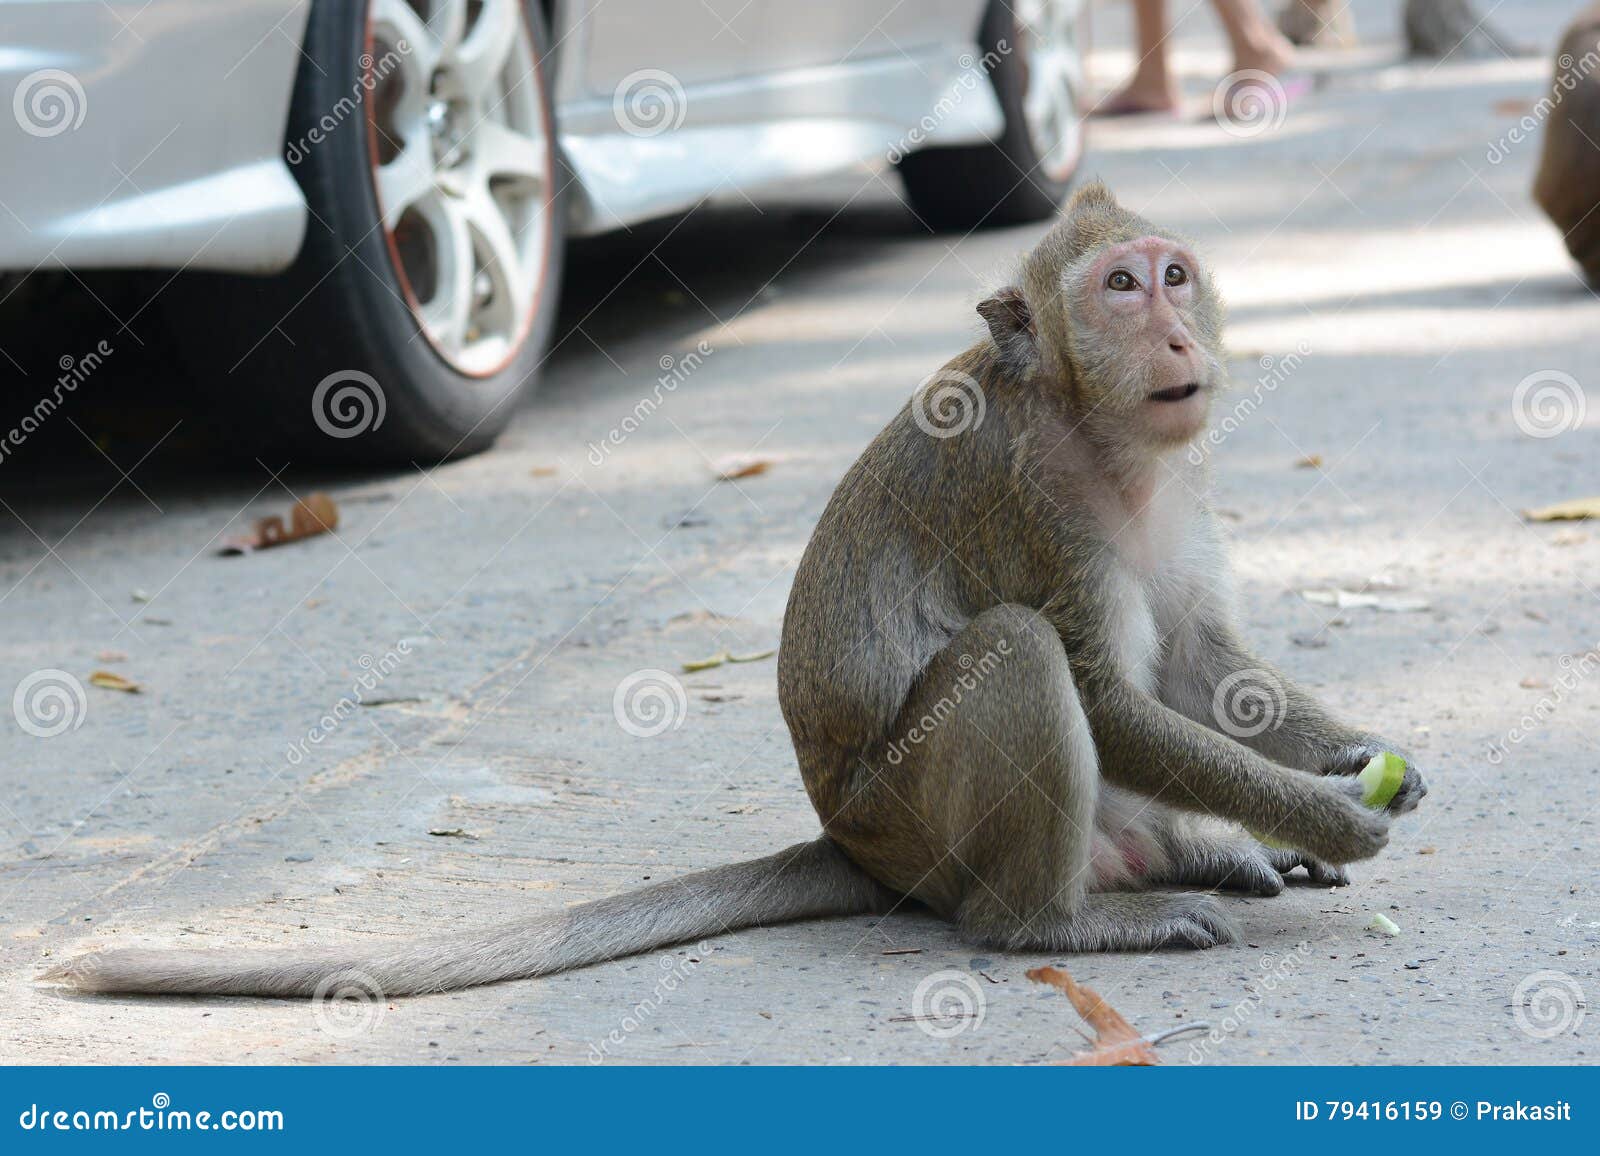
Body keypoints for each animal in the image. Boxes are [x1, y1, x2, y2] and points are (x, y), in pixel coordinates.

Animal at [44, 182, 1425, 999]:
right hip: (920, 819)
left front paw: (1347, 757)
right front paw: (1329, 811)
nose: (1179, 335)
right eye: (1120, 289)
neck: (1095, 433)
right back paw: (1051, 927)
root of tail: (851, 842)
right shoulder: (1021, 495)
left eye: (1173, 274)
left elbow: (1198, 658)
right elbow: (1097, 683)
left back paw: (1200, 855)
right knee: (1016, 656)